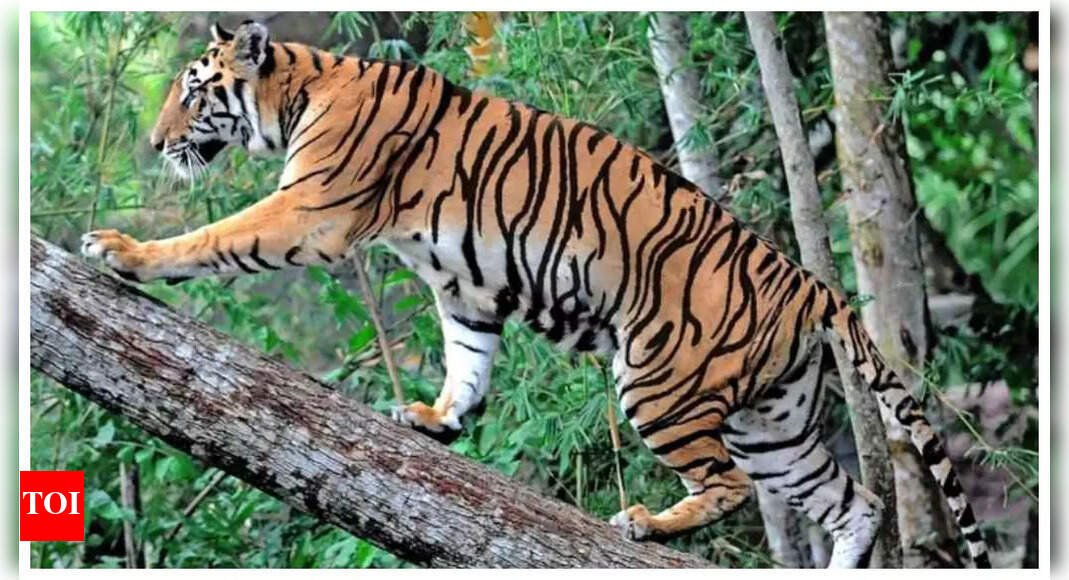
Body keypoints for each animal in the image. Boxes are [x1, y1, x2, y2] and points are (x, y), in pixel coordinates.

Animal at [80, 21, 990, 568]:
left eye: (193, 91)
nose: (154, 143)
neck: (302, 89)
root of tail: (804, 281)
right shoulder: (464, 287)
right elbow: (467, 358)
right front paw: (436, 418)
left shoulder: (310, 211)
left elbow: (213, 239)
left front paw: (124, 252)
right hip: (772, 420)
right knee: (854, 499)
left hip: (658, 383)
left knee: (729, 485)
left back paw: (647, 523)